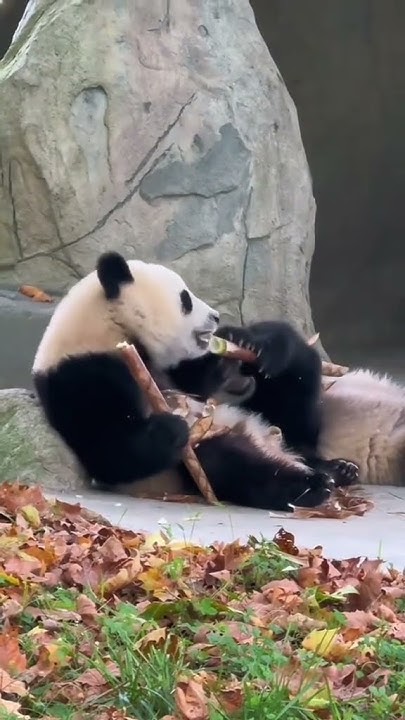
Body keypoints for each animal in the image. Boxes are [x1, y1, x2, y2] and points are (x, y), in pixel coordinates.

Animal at [32, 250, 357, 512]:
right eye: (185, 299)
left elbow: (203, 377)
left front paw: (245, 342)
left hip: (275, 414)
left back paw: (337, 467)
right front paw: (170, 428)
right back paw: (311, 485)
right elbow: (109, 448)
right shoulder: (81, 375)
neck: (110, 327)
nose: (215, 316)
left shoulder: (175, 367)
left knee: (298, 380)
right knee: (230, 463)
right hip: (195, 461)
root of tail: (274, 444)